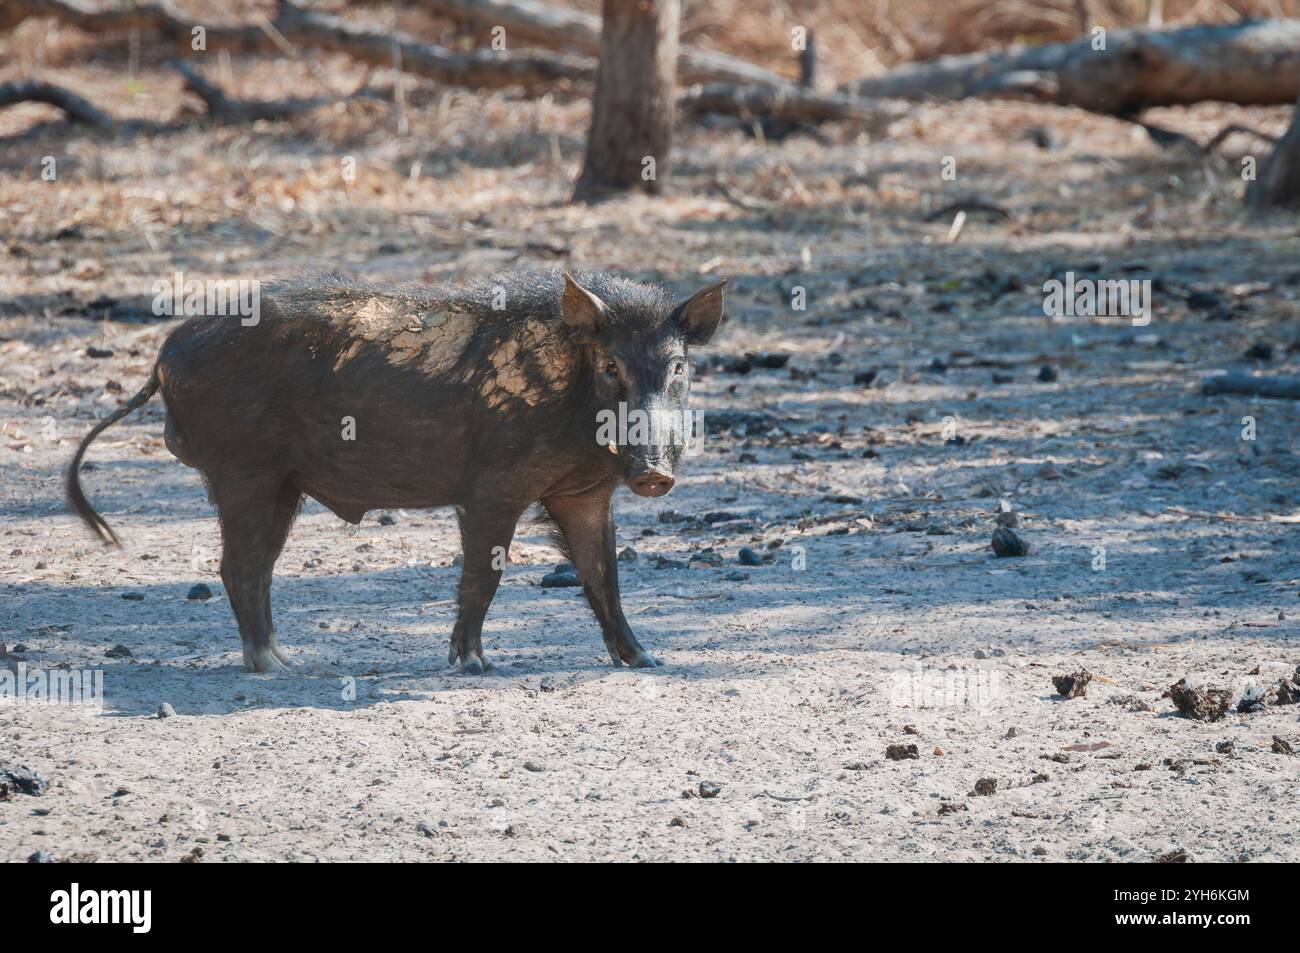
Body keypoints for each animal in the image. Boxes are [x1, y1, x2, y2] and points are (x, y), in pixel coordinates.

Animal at [66, 271, 726, 674]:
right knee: (239, 566)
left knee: (251, 568)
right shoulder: (492, 487)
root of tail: (163, 355)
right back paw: (275, 667)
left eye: (678, 367)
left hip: (279, 486)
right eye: (612, 365)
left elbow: (603, 578)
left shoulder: (583, 496)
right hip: (242, 471)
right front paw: (475, 666)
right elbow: (483, 575)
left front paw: (648, 661)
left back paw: (285, 659)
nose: (654, 475)